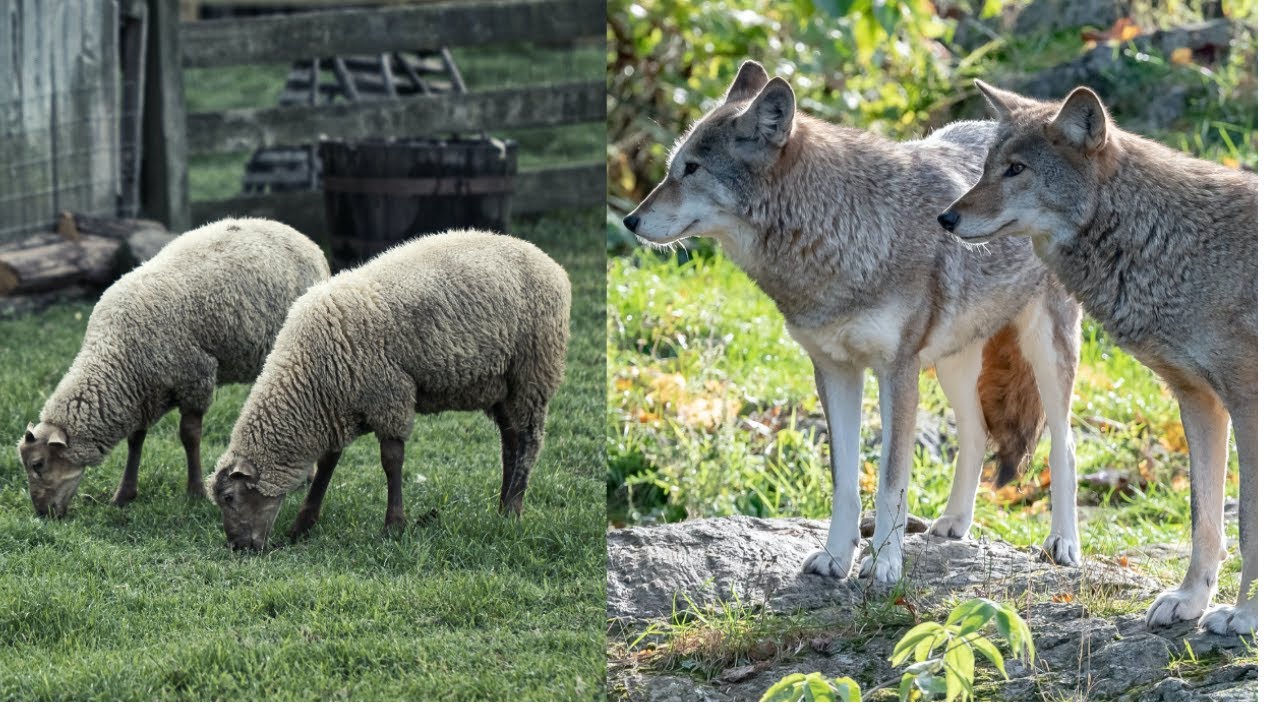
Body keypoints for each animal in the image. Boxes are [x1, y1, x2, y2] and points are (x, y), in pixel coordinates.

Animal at [17, 218, 330, 517]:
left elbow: (189, 436)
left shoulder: (195, 379)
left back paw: (308, 476)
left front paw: (195, 492)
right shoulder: (143, 393)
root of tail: (301, 236)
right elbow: (135, 440)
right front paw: (124, 495)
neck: (115, 353)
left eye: (38, 464)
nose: (42, 513)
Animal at [205, 229, 571, 551]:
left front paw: (393, 526)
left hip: (533, 372)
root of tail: (552, 266)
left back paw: (513, 511)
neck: (308, 381)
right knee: (510, 442)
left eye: (230, 497)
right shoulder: (340, 405)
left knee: (529, 441)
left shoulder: (388, 396)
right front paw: (302, 525)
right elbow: (327, 464)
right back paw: (503, 506)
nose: (238, 547)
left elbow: (391, 460)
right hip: (502, 385)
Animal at [622, 61, 1083, 585]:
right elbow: (844, 481)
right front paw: (835, 558)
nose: (630, 221)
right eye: (672, 168)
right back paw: (953, 524)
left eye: (692, 169)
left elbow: (889, 481)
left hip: (1045, 351)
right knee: (977, 434)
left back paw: (1063, 543)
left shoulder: (897, 371)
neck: (838, 234)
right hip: (953, 364)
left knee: (1064, 444)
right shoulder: (833, 370)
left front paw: (883, 563)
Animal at [939, 82, 1258, 635]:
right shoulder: (1199, 402)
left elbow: (1251, 526)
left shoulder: (1249, 404)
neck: (1177, 246)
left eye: (1017, 169)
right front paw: (1190, 601)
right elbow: (1205, 519)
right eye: (986, 167)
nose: (946, 217)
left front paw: (1247, 614)